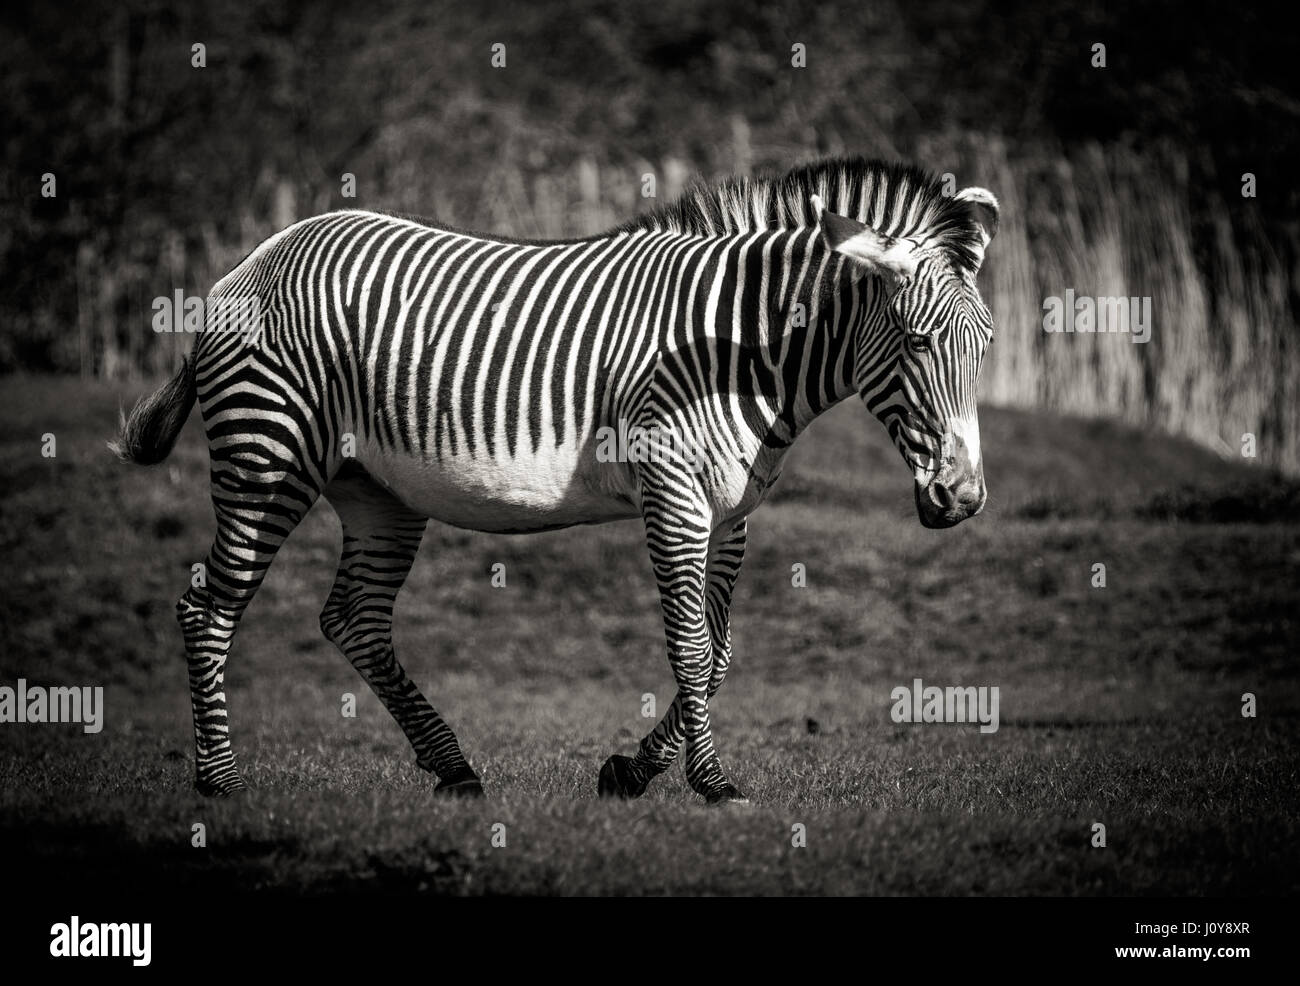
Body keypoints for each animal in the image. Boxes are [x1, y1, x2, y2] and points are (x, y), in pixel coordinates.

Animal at [112, 156, 999, 805]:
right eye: (918, 343)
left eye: (986, 346)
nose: (963, 500)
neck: (740, 349)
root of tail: (251, 260)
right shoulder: (672, 492)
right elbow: (689, 641)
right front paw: (711, 783)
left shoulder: (731, 511)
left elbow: (718, 651)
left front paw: (631, 772)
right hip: (268, 455)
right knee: (209, 608)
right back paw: (220, 781)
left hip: (376, 493)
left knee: (353, 619)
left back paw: (455, 769)